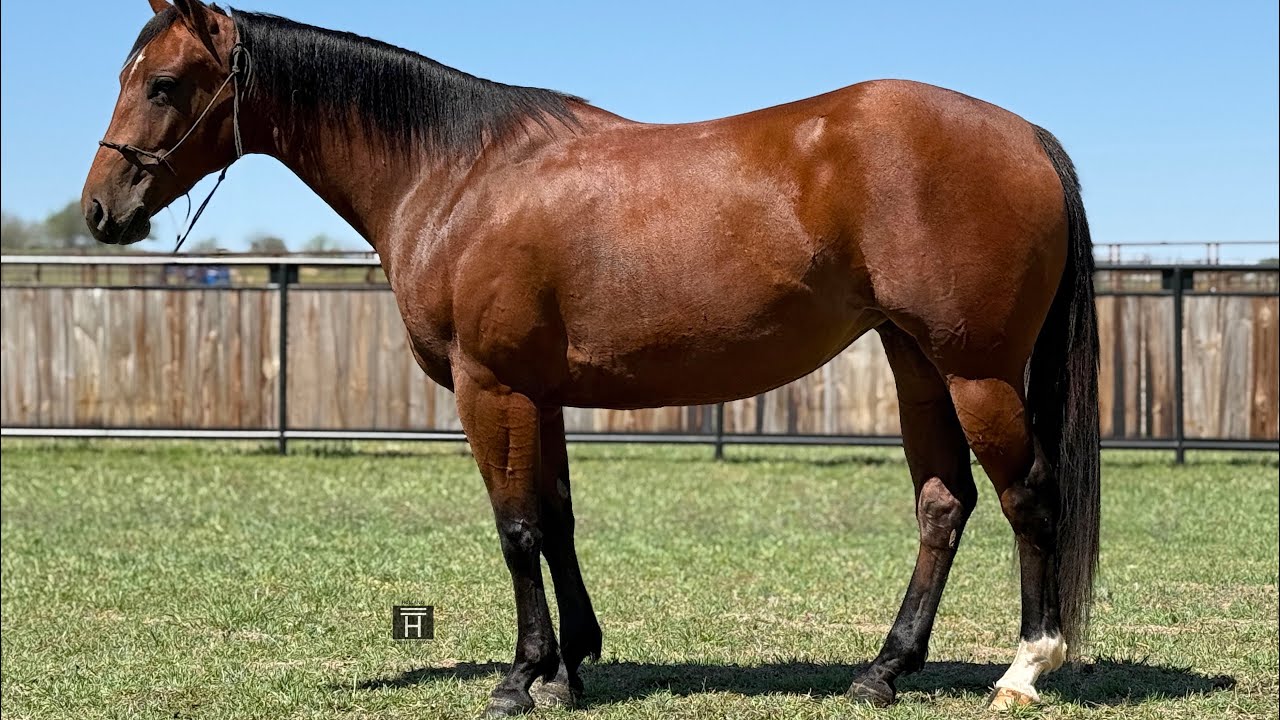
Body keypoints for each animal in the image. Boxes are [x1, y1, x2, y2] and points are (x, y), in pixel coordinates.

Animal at [83, 1, 1101, 715]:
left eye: (165, 83)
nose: (100, 211)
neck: (460, 174)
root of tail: (1027, 135)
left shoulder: (489, 387)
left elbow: (516, 529)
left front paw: (518, 677)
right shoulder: (539, 394)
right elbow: (559, 520)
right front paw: (571, 667)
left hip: (974, 370)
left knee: (1027, 497)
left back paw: (1024, 668)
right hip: (914, 359)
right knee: (944, 503)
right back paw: (883, 669)